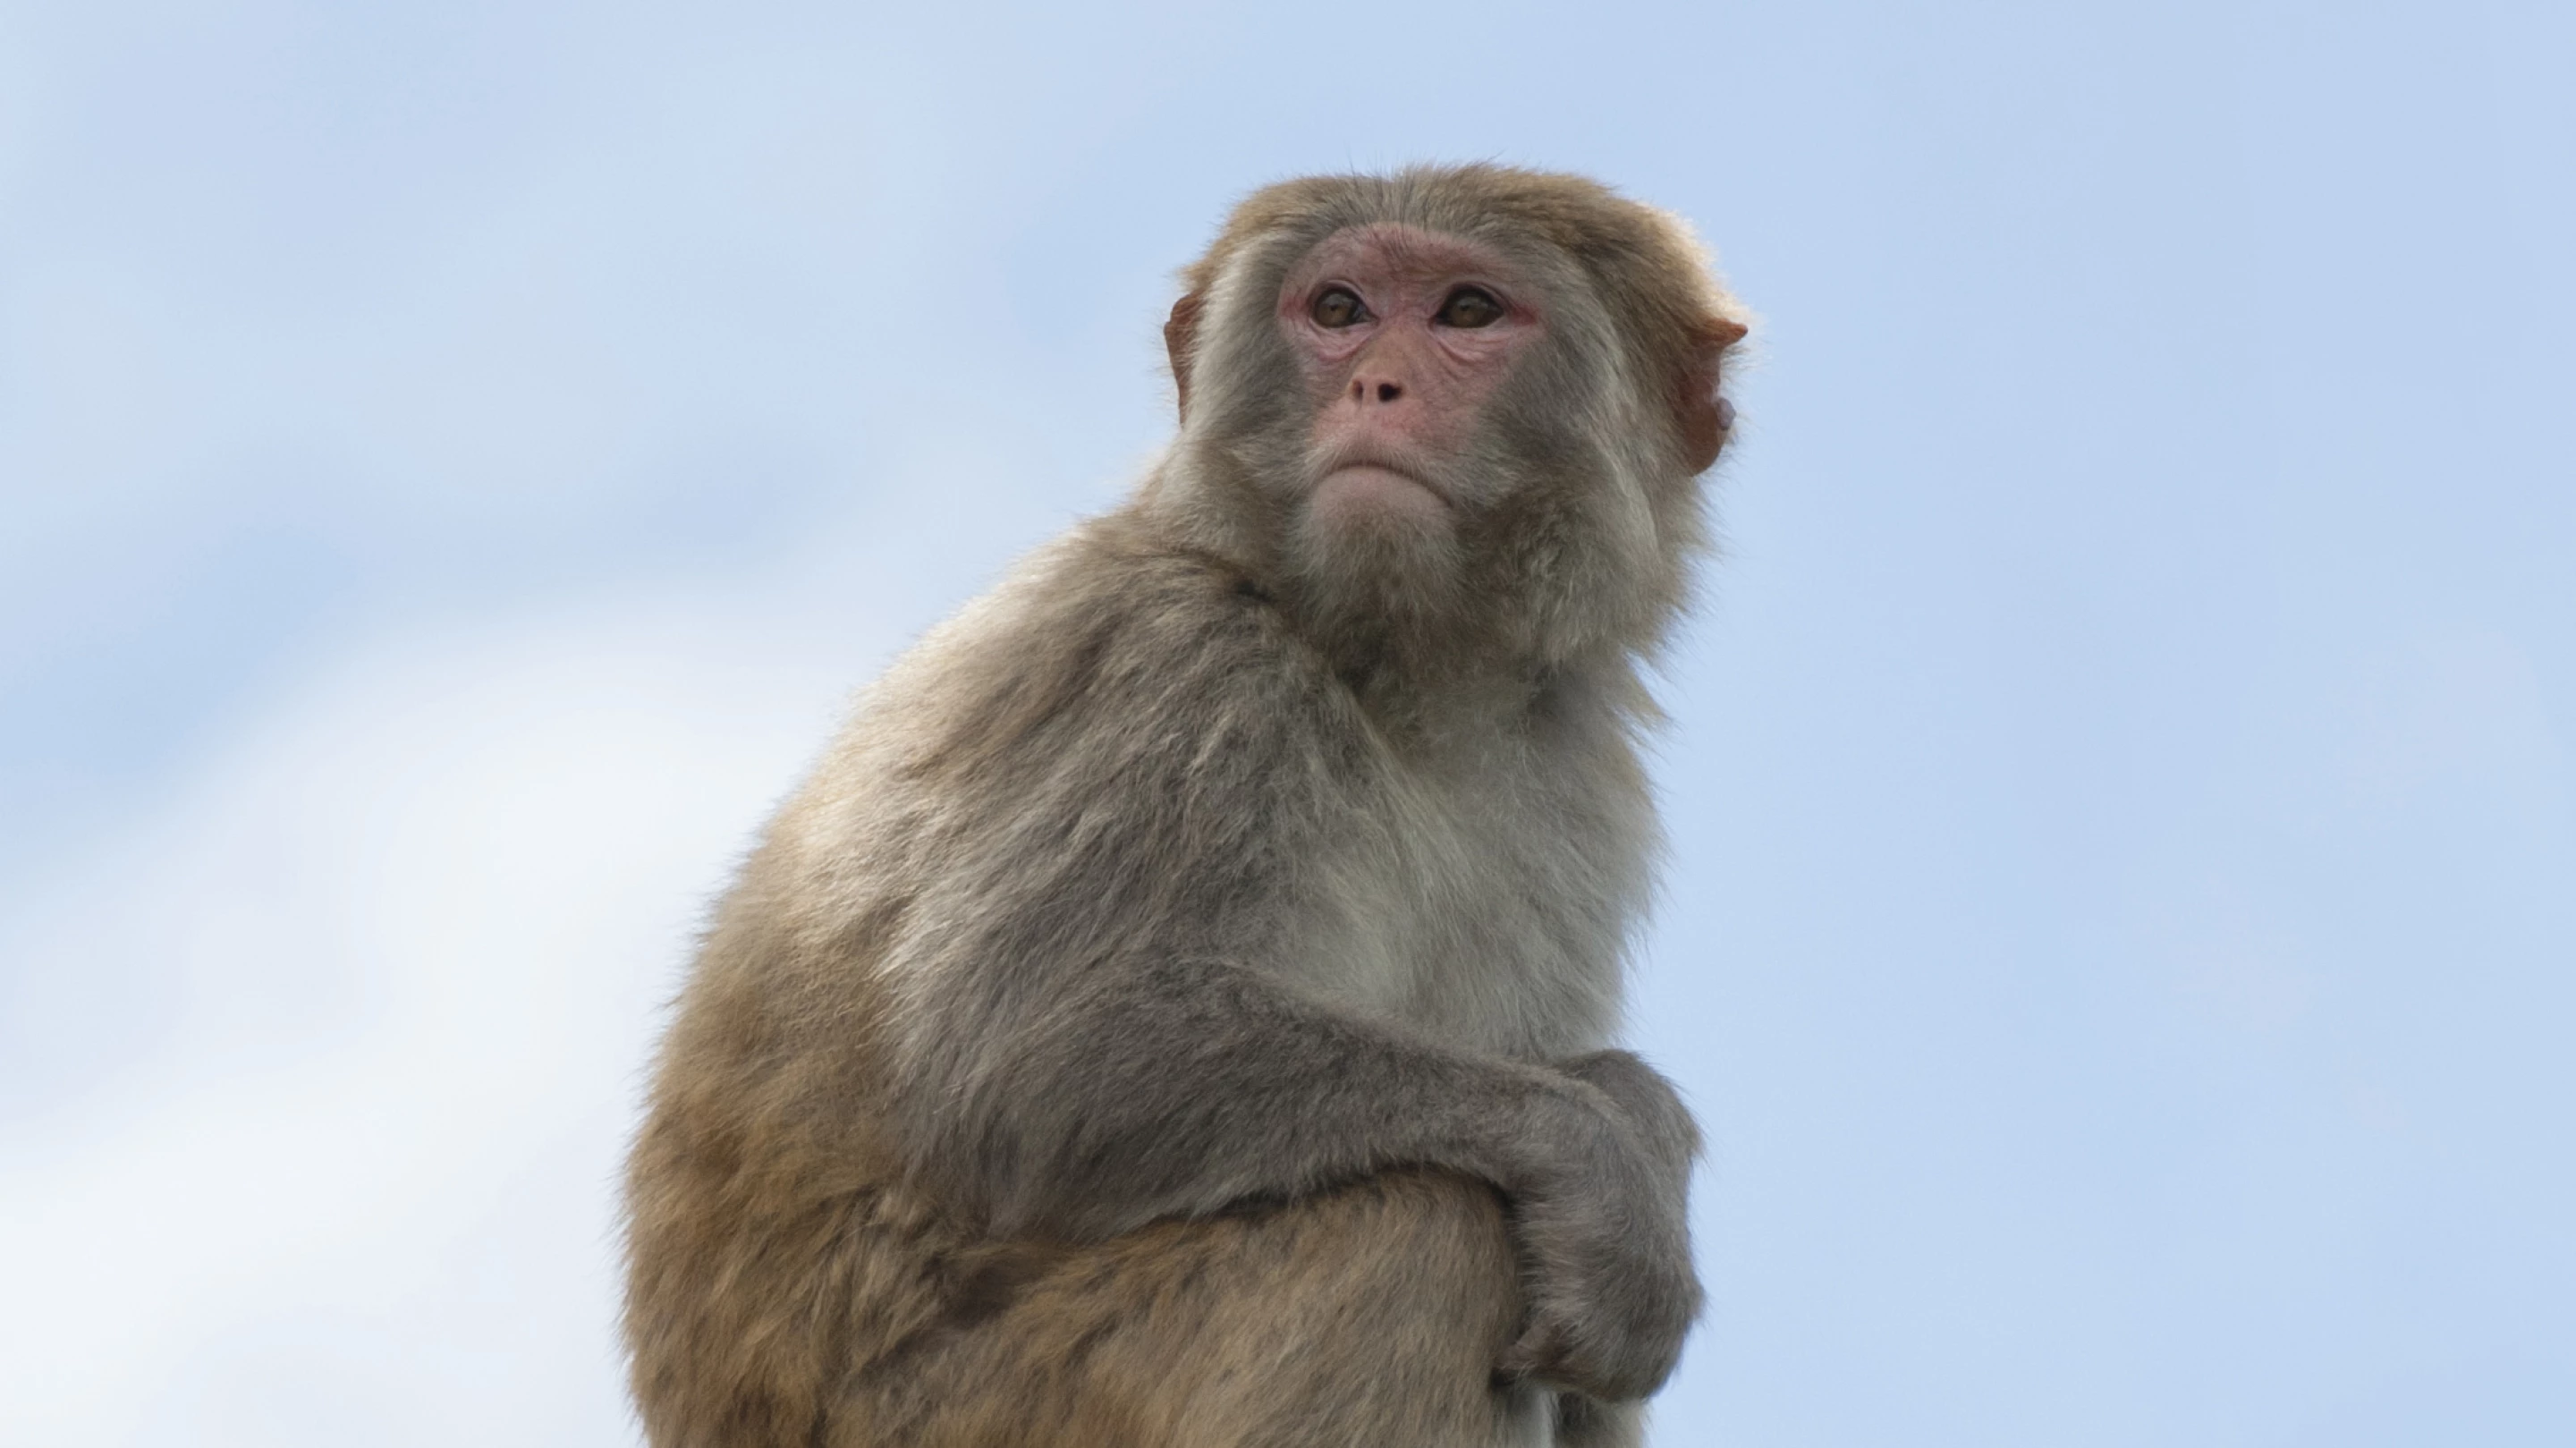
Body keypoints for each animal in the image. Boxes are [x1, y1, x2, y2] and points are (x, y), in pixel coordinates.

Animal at [622, 164, 1750, 1448]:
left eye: (1468, 311)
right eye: (1340, 309)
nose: (1376, 384)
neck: (1392, 669)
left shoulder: (1572, 780)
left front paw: (1637, 1127)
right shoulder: (1186, 669)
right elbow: (1043, 1057)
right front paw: (1603, 1147)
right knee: (1427, 1233)